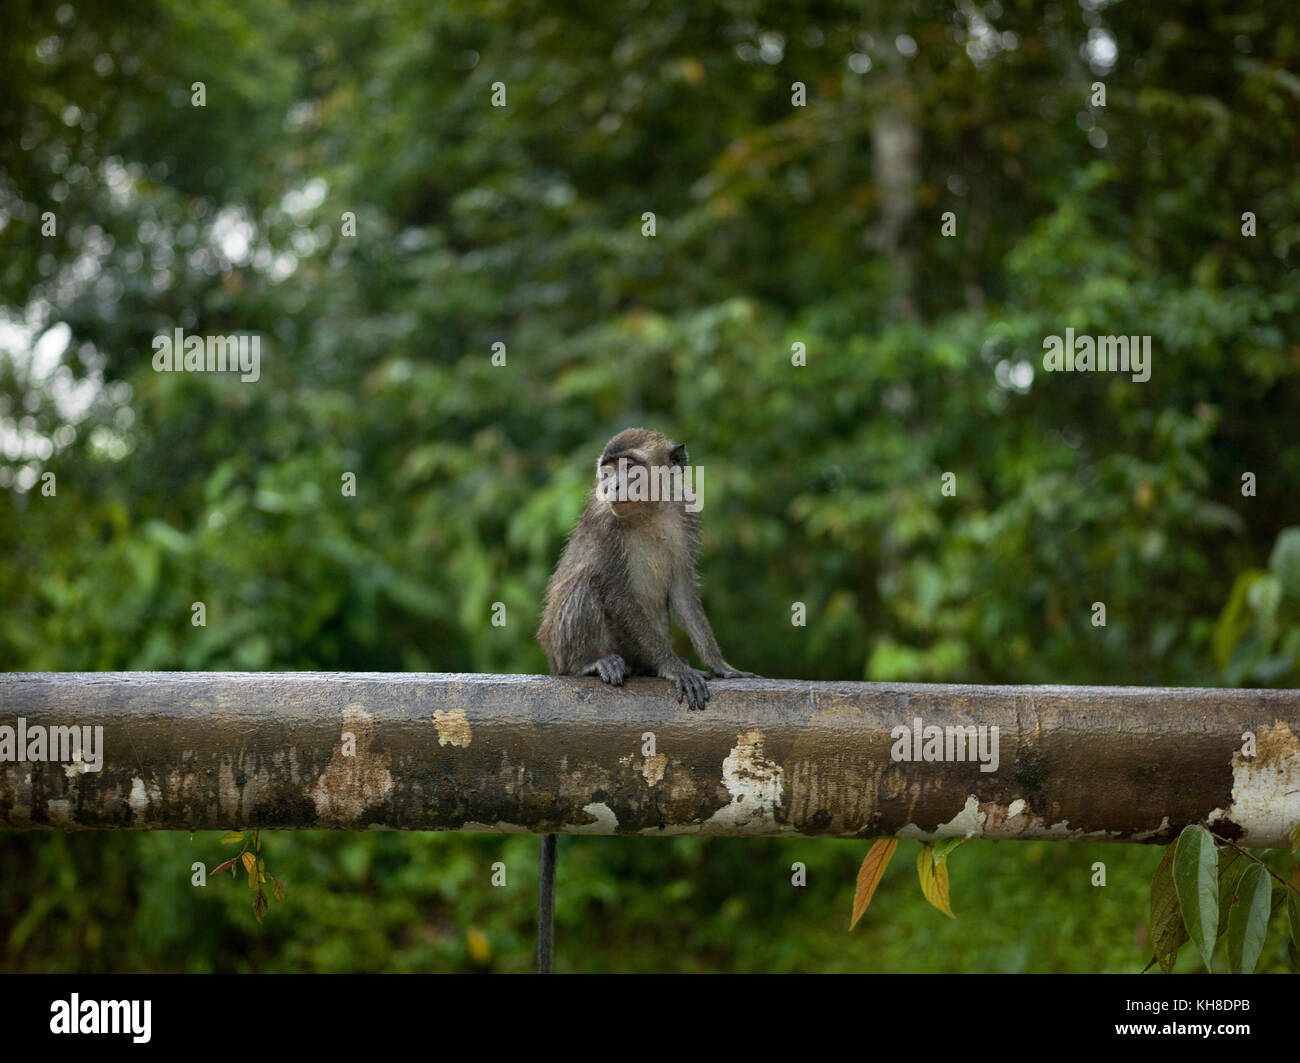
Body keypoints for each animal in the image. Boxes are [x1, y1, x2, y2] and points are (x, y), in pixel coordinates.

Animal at [537, 427, 756, 709]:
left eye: (630, 467)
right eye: (607, 472)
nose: (612, 486)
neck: (649, 510)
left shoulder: (687, 513)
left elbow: (682, 590)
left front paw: (720, 665)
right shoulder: (604, 524)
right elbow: (617, 596)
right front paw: (675, 668)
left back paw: (647, 669)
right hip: (559, 650)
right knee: (587, 581)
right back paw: (590, 664)